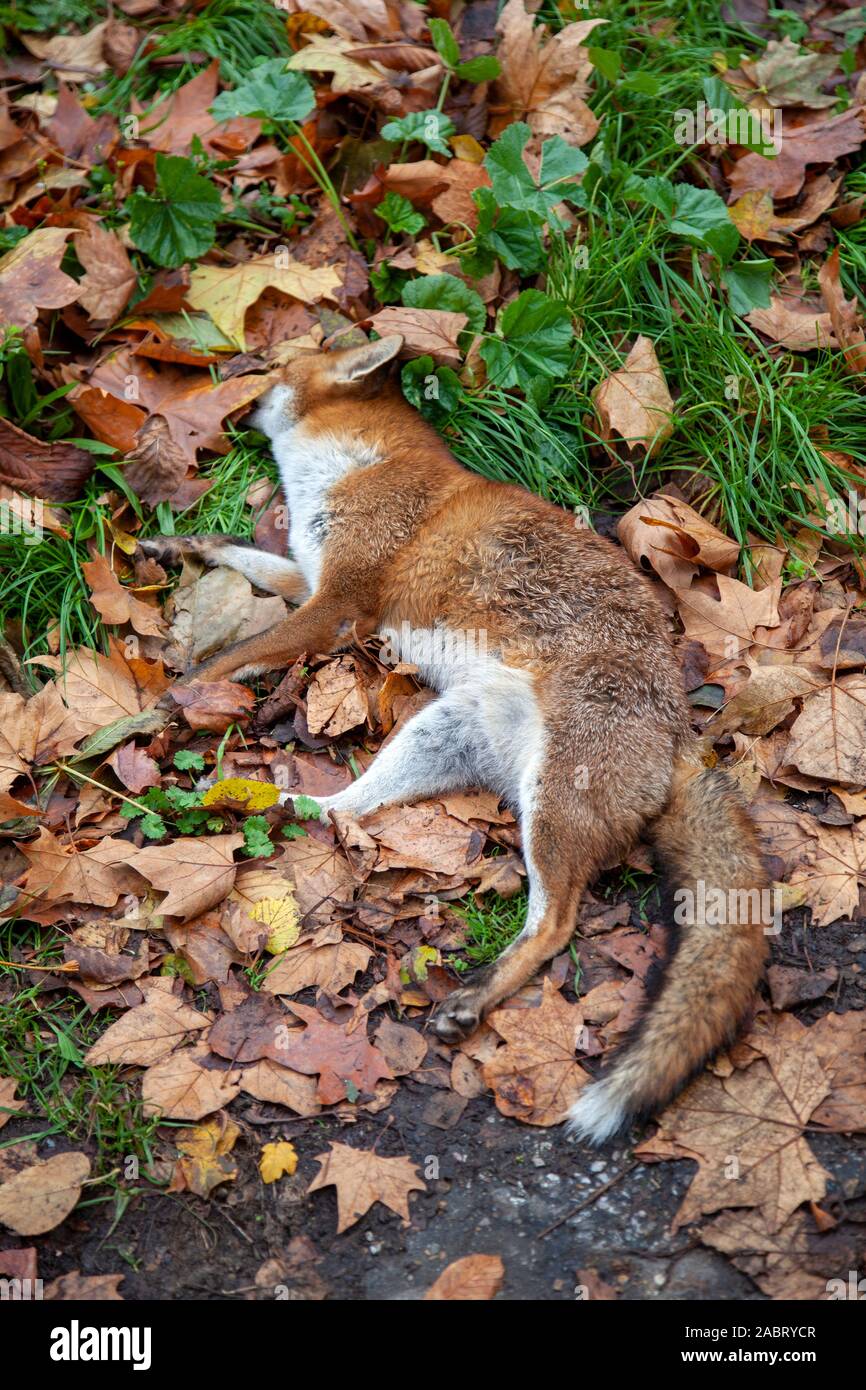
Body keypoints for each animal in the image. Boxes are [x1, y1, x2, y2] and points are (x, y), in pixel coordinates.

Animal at [140, 334, 768, 1144]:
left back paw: (470, 1001)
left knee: (555, 923)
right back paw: (270, 802)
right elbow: (238, 553)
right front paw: (176, 543)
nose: (228, 383)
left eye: (278, 361)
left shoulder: (336, 606)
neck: (349, 468)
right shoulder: (307, 577)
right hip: (441, 730)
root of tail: (680, 730)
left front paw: (161, 703)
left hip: (551, 800)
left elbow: (229, 658)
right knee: (347, 808)